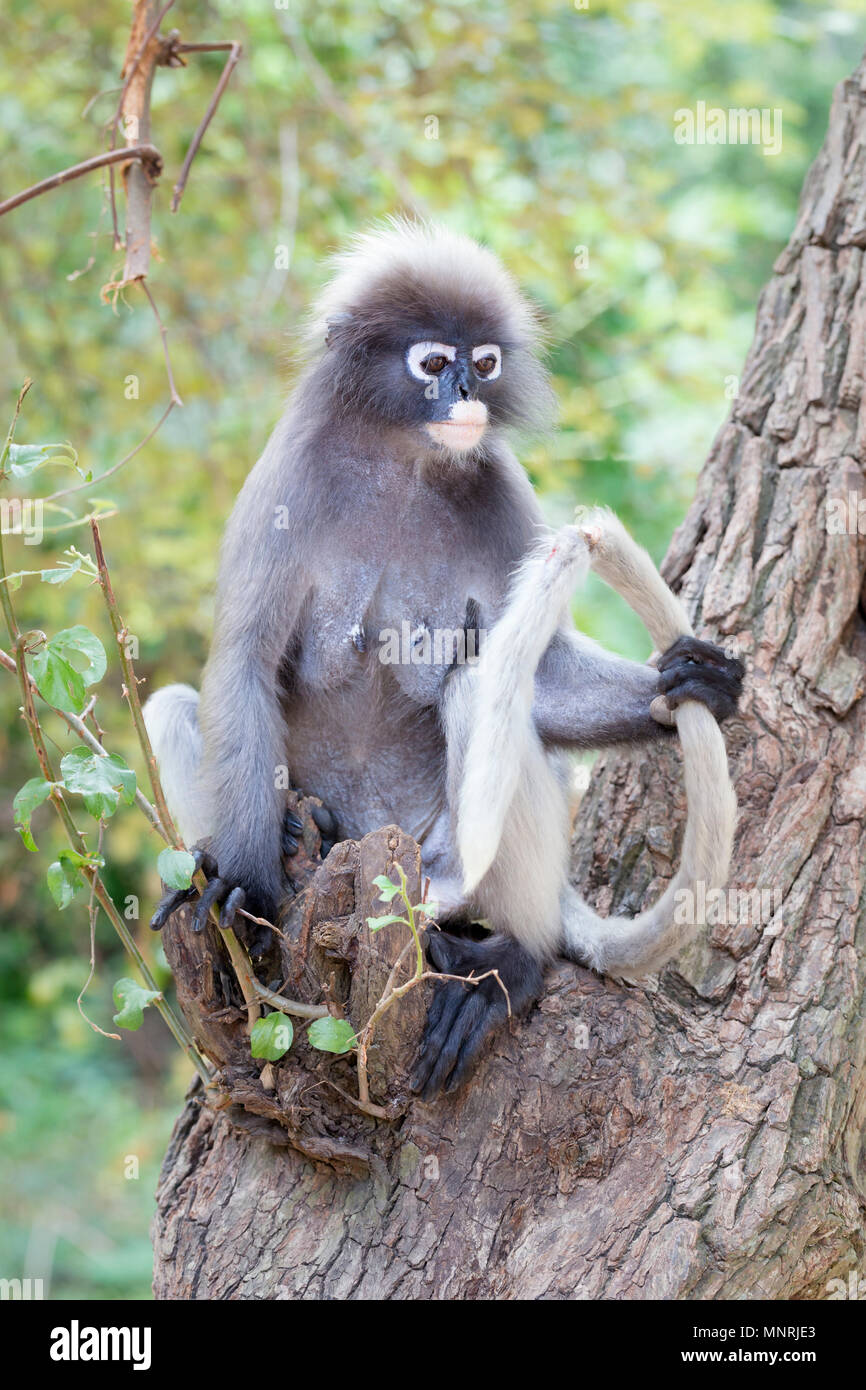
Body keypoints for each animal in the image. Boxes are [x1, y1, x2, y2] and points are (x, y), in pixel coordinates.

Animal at [144, 220, 743, 1098]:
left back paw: (511, 962)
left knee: (476, 691)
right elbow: (243, 664)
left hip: (434, 862)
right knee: (175, 705)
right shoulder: (287, 479)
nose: (466, 388)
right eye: (433, 363)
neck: (404, 459)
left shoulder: (500, 485)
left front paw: (693, 682)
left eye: (483, 362)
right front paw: (245, 884)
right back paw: (292, 835)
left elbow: (541, 673)